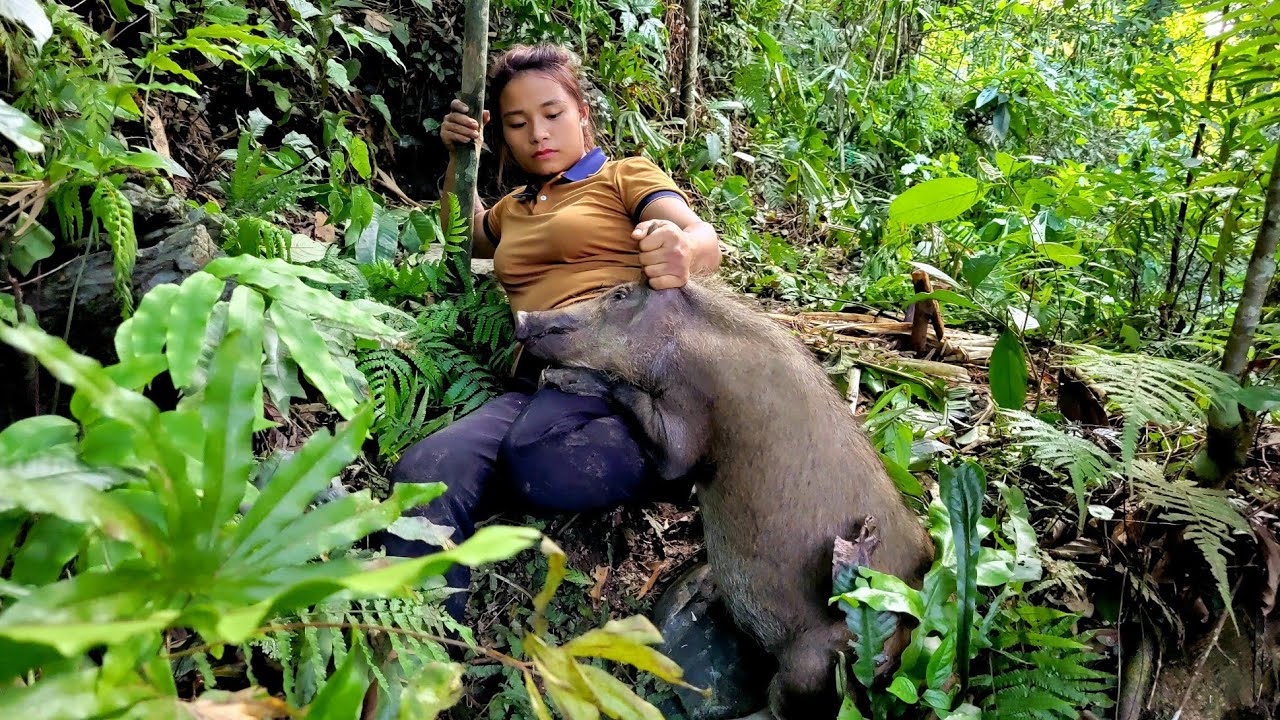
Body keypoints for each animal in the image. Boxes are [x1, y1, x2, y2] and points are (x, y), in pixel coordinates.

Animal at [513, 278, 935, 719]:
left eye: (619, 294)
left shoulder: (683, 420)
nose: (523, 316)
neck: (682, 339)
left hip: (815, 660)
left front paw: (562, 378)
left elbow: (651, 425)